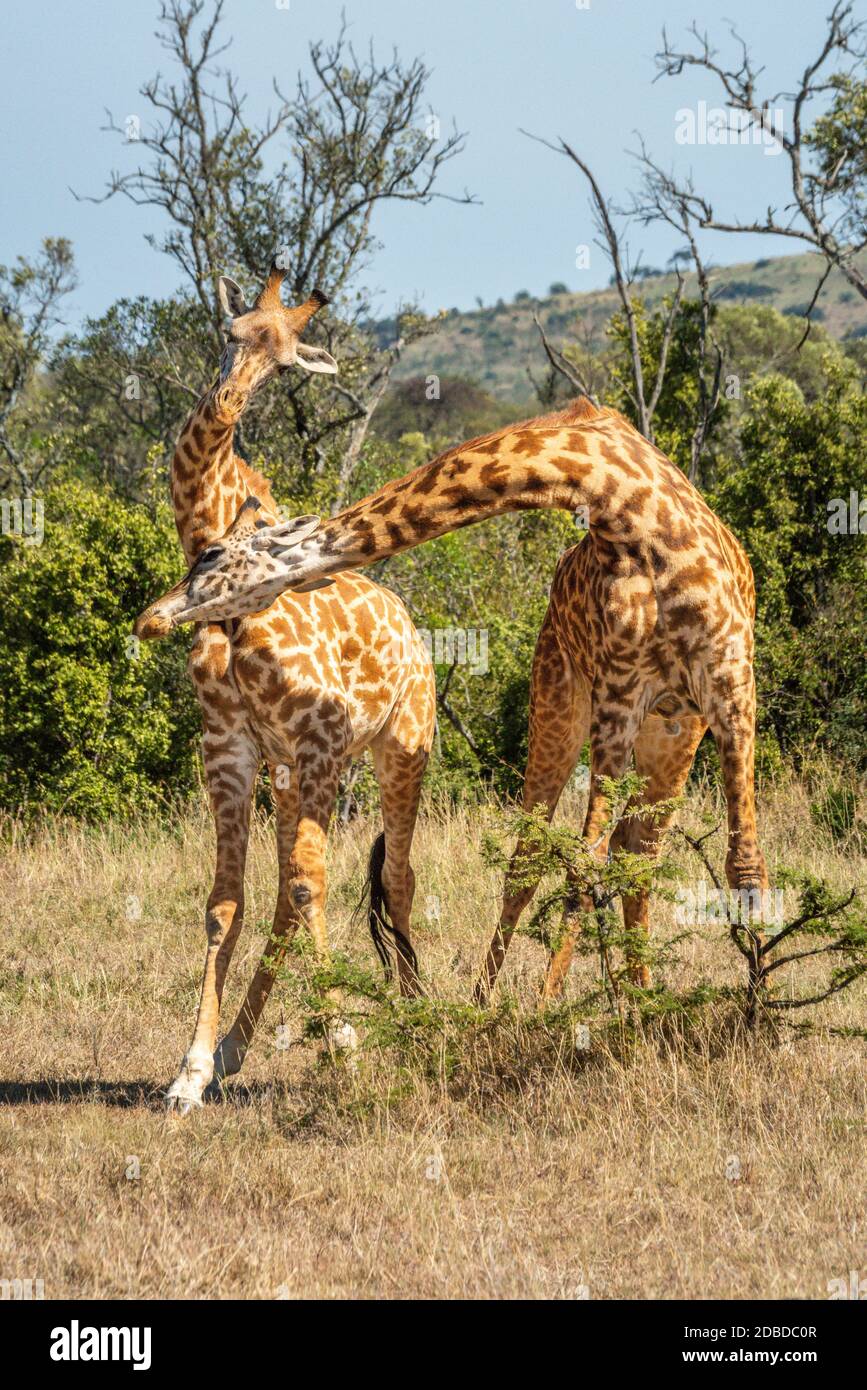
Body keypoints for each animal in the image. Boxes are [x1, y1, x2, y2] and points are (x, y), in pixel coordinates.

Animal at [152, 263, 436, 1111]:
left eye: (285, 360)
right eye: (231, 332)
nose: (225, 403)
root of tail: (412, 629)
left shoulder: (319, 740)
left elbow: (313, 891)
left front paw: (342, 1043)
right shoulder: (229, 749)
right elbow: (227, 904)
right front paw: (191, 1070)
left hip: (398, 747)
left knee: (394, 876)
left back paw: (414, 1021)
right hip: (288, 771)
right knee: (287, 889)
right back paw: (236, 1050)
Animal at [182, 396, 768, 1001]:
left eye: (211, 555)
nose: (164, 611)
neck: (627, 507)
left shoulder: (732, 682)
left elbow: (745, 866)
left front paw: (762, 1007)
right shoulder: (618, 695)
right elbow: (582, 866)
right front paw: (546, 1010)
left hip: (675, 730)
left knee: (639, 852)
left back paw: (635, 995)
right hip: (566, 705)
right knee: (536, 857)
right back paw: (515, 1000)